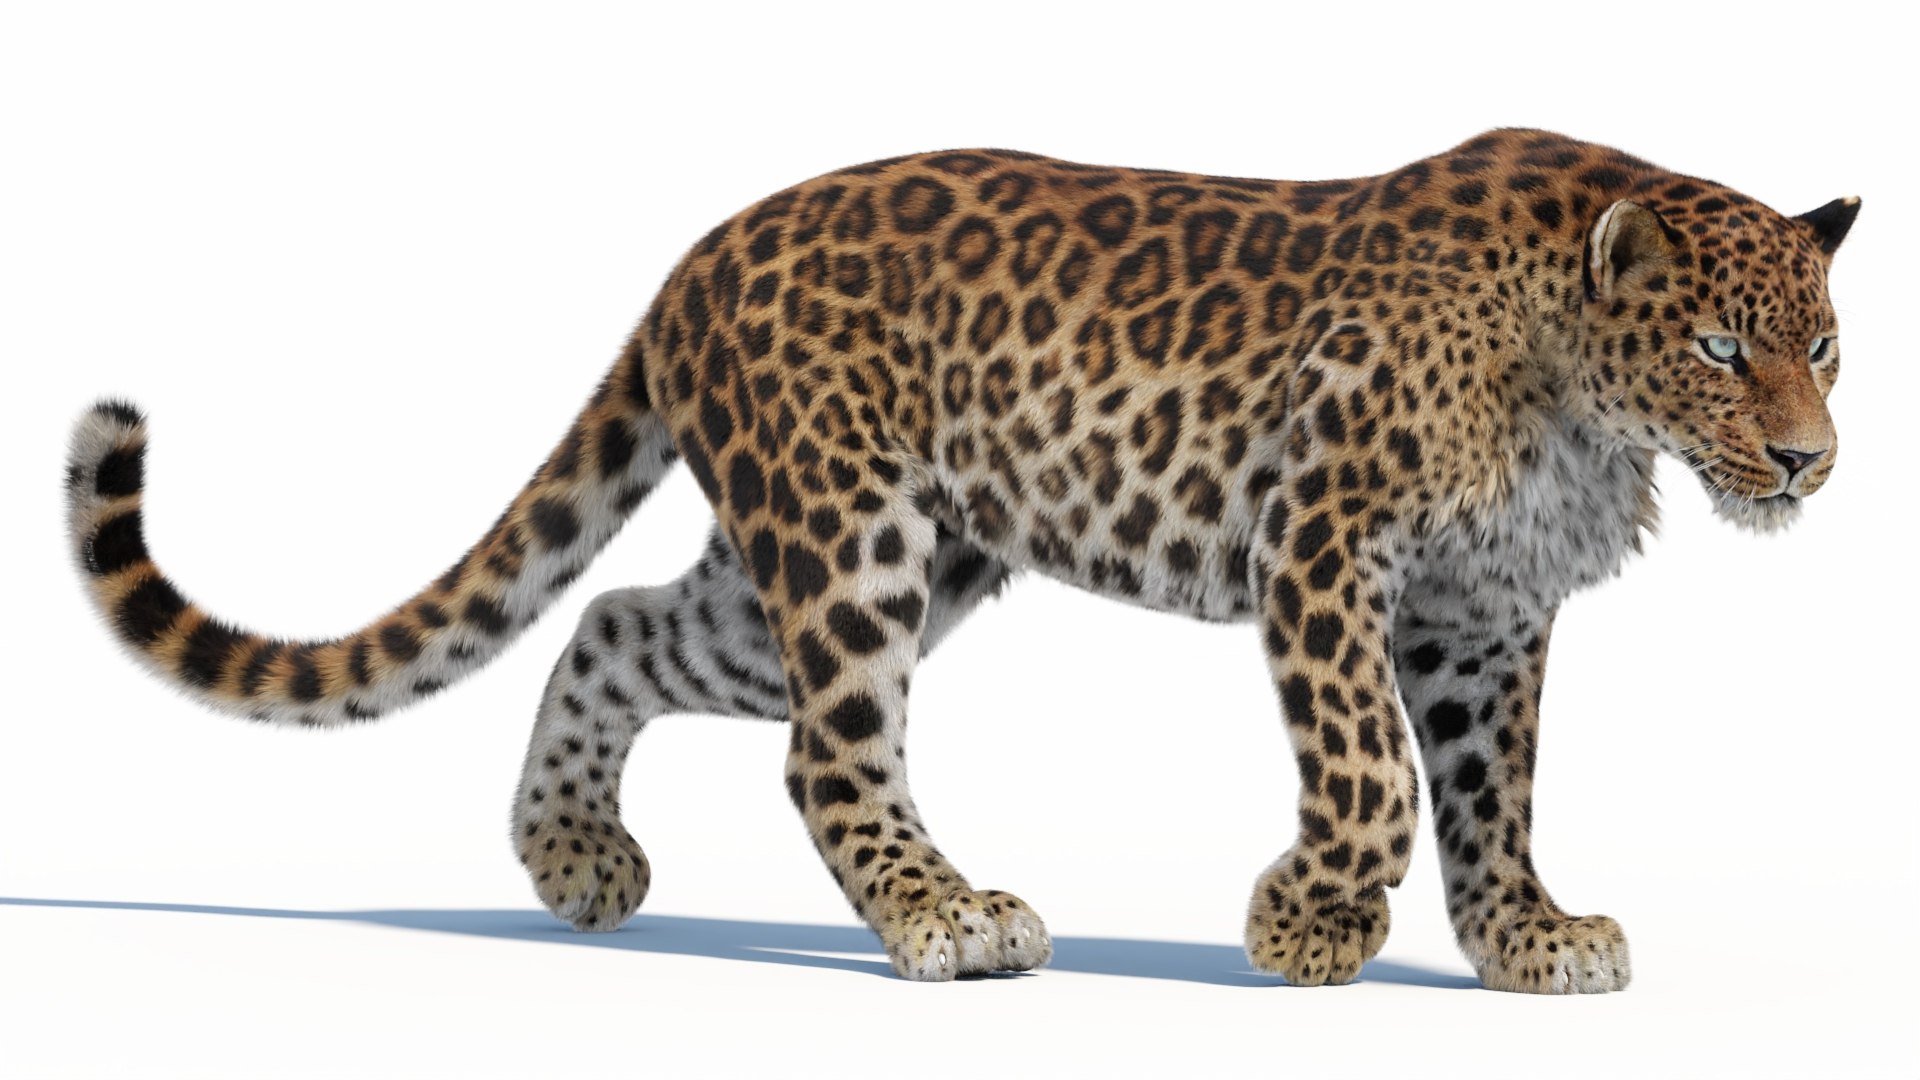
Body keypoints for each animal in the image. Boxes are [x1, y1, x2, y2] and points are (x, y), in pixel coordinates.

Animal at [64, 128, 1858, 993]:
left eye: (1827, 348)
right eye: (1719, 347)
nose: (1809, 461)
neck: (1586, 400)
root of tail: (692, 258)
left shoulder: (1486, 612)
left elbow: (1496, 788)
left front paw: (1526, 943)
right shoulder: (1325, 540)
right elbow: (1374, 769)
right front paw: (1311, 928)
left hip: (897, 558)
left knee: (624, 625)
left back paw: (576, 858)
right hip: (848, 532)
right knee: (824, 750)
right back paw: (947, 919)